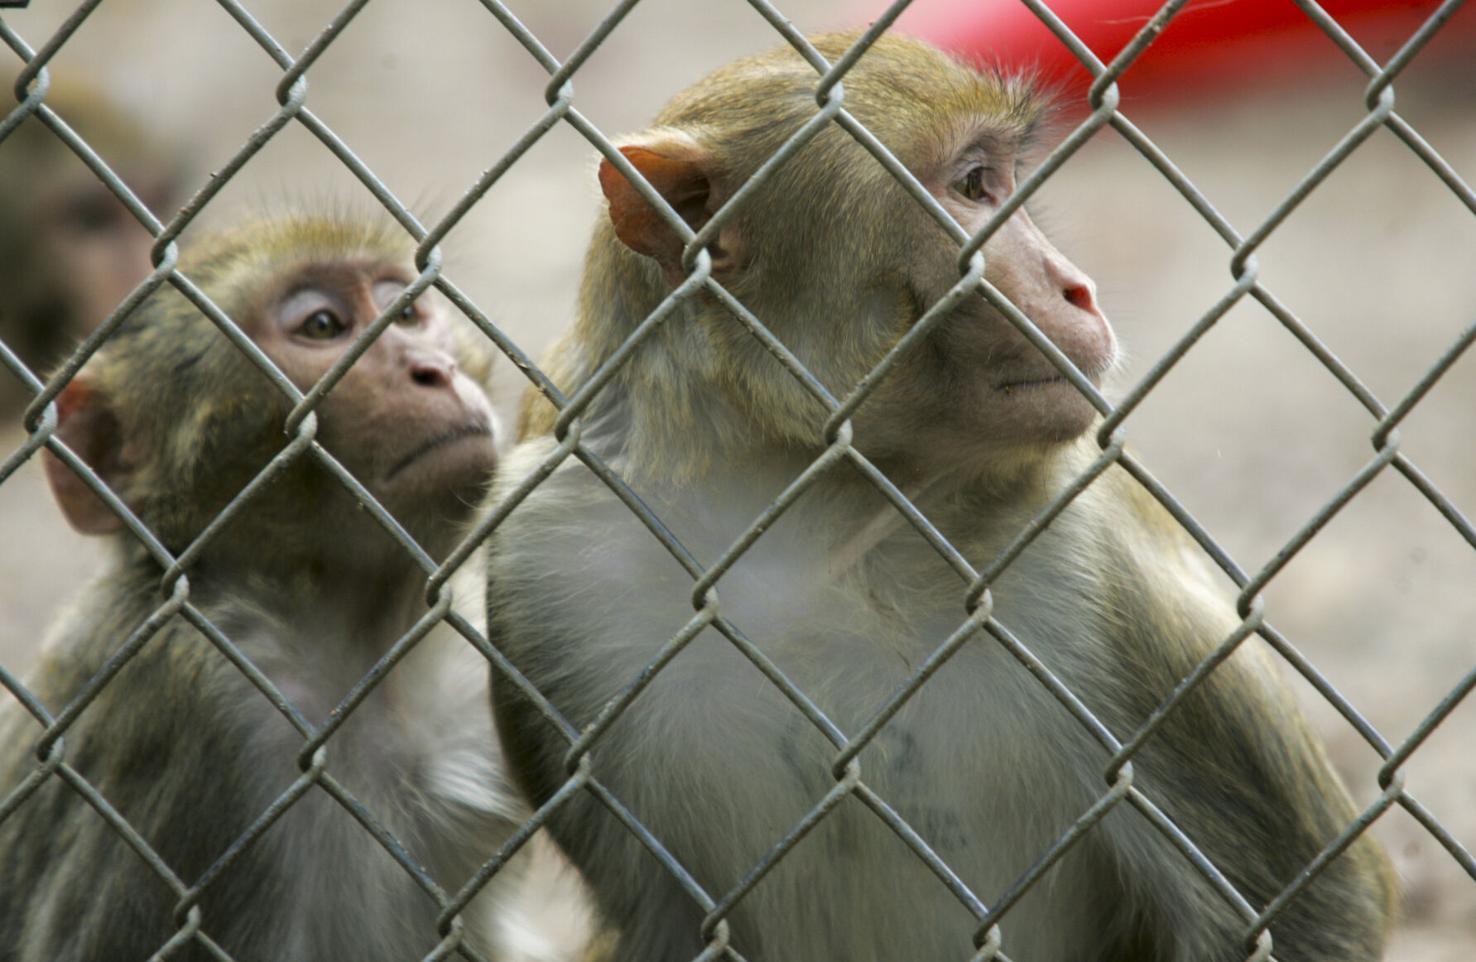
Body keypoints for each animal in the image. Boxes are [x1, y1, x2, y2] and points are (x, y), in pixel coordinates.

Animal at [484, 33, 1396, 962]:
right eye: (973, 184)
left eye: (1000, 177)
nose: (1077, 287)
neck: (804, 505)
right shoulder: (539, 553)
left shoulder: (1090, 549)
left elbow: (1304, 905)